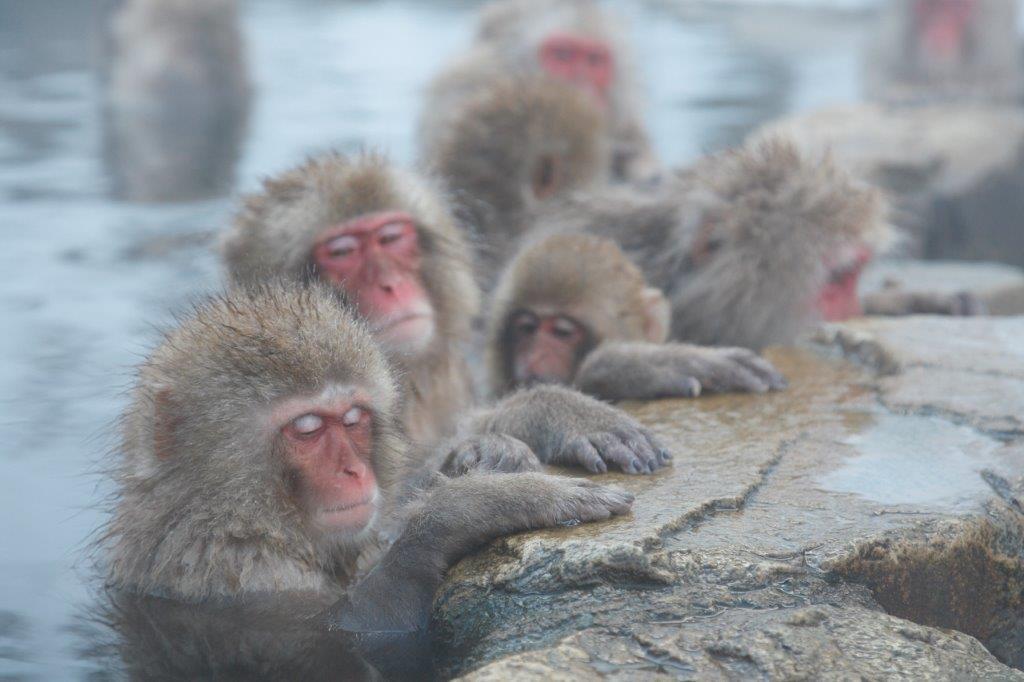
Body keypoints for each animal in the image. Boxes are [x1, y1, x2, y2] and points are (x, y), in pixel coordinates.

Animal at [101, 283, 637, 636]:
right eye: (308, 428)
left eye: (354, 417)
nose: (355, 471)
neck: (231, 515)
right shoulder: (236, 568)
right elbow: (360, 625)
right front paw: (480, 504)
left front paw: (535, 420)